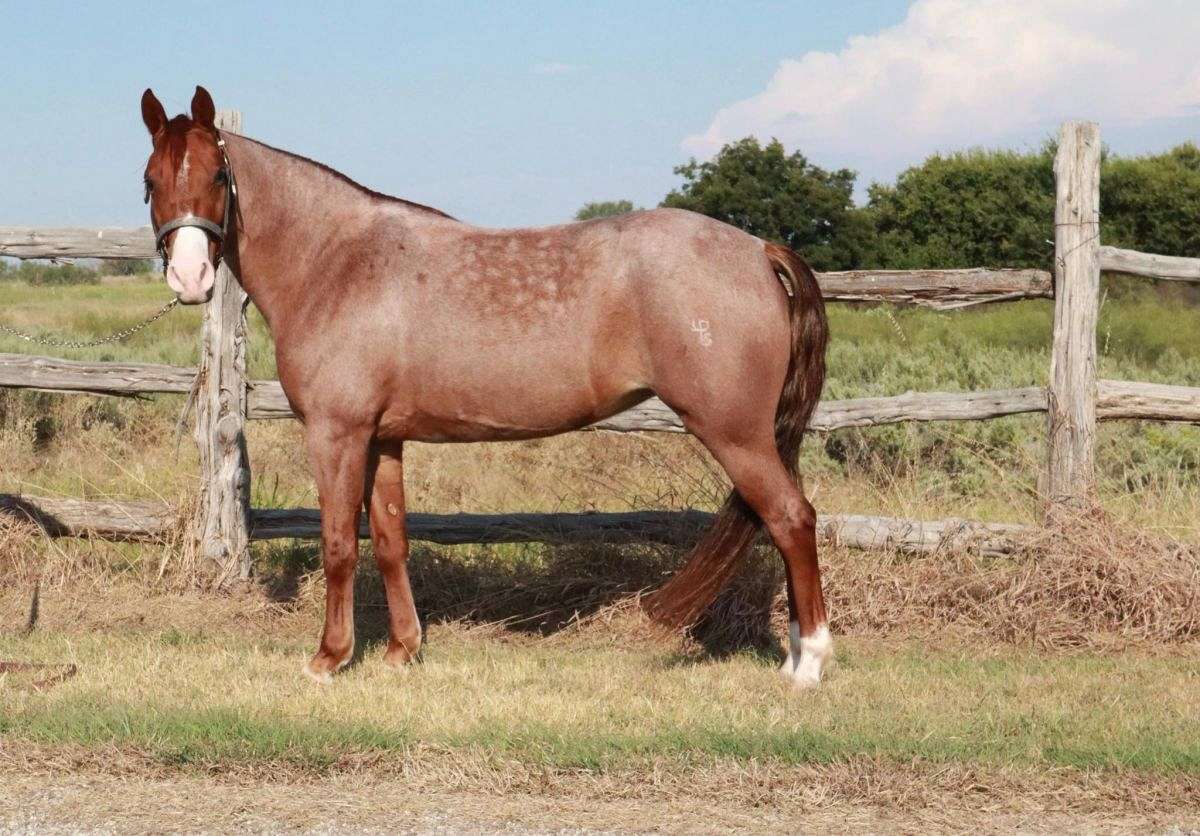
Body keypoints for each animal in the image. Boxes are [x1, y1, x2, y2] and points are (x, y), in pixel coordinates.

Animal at [140, 86, 832, 688]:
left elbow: (338, 543)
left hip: (735, 433)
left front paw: (329, 658)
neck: (335, 262)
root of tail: (757, 250)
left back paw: (808, 665)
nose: (191, 277)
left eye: (219, 177)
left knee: (793, 520)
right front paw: (401, 650)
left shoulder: (337, 435)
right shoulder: (382, 439)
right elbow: (390, 541)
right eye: (150, 180)